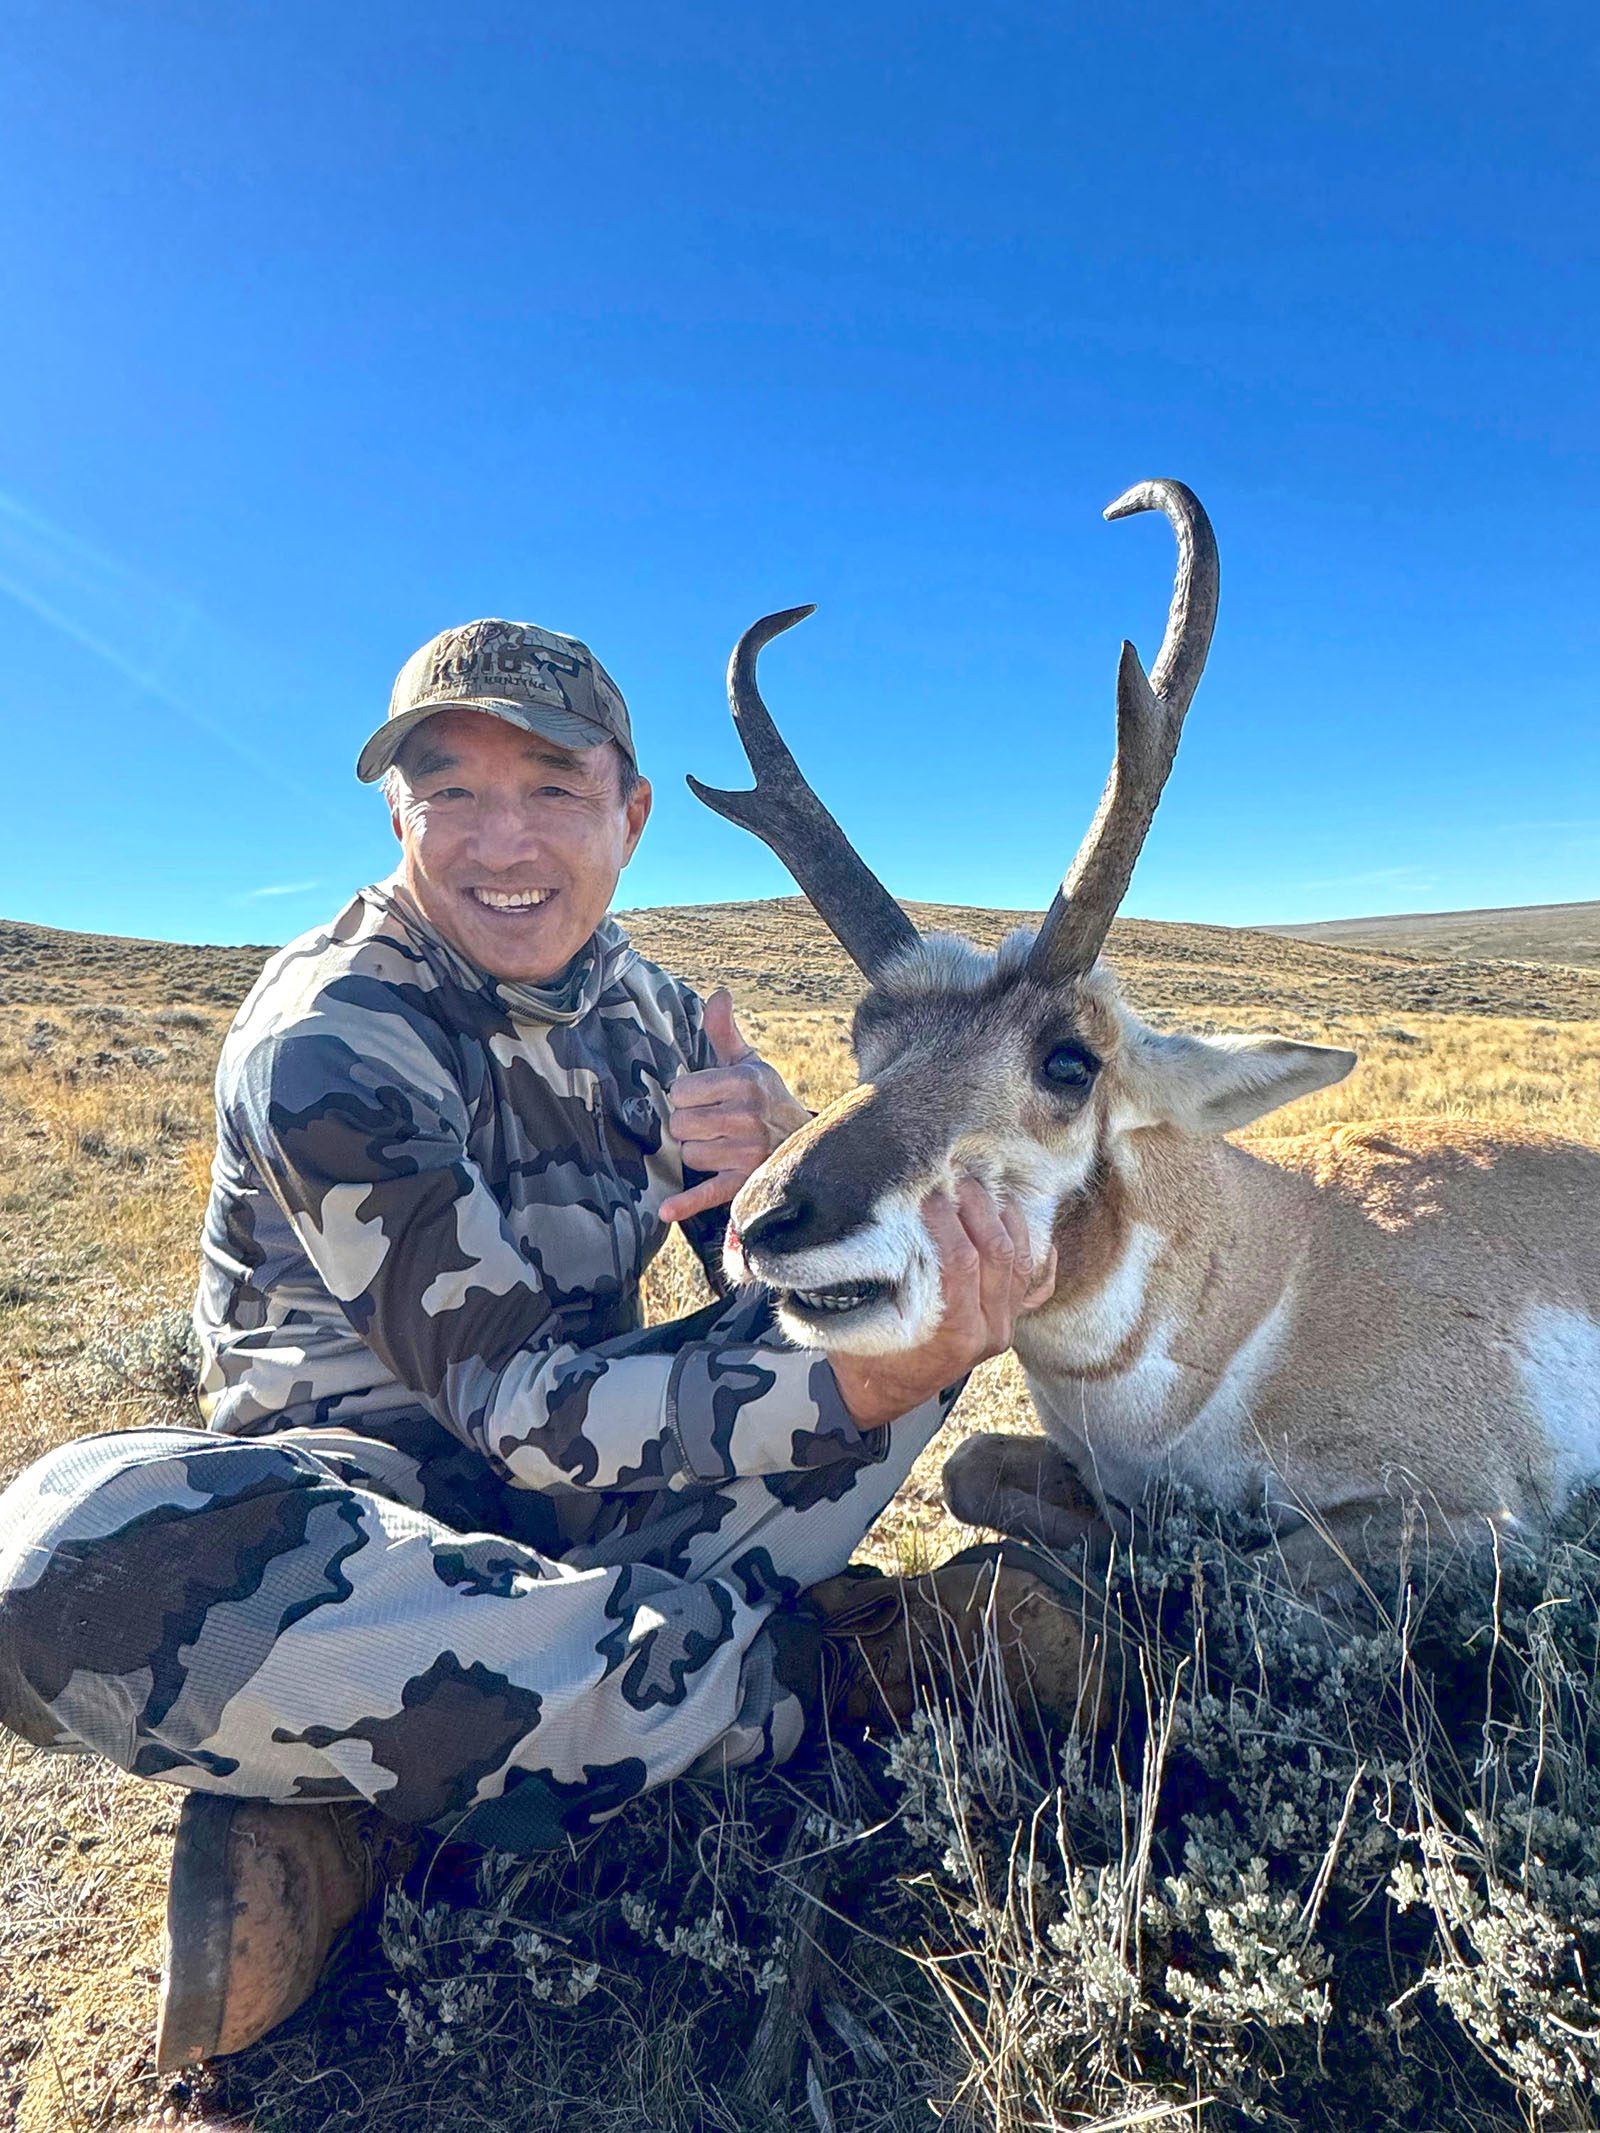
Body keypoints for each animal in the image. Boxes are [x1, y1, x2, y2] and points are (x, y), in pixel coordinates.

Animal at [690, 482, 1600, 1588]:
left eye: (1069, 1061)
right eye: (867, 1039)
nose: (765, 1221)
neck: (1274, 1270)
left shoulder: (1474, 1515)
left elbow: (1258, 1567)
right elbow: (972, 1472)